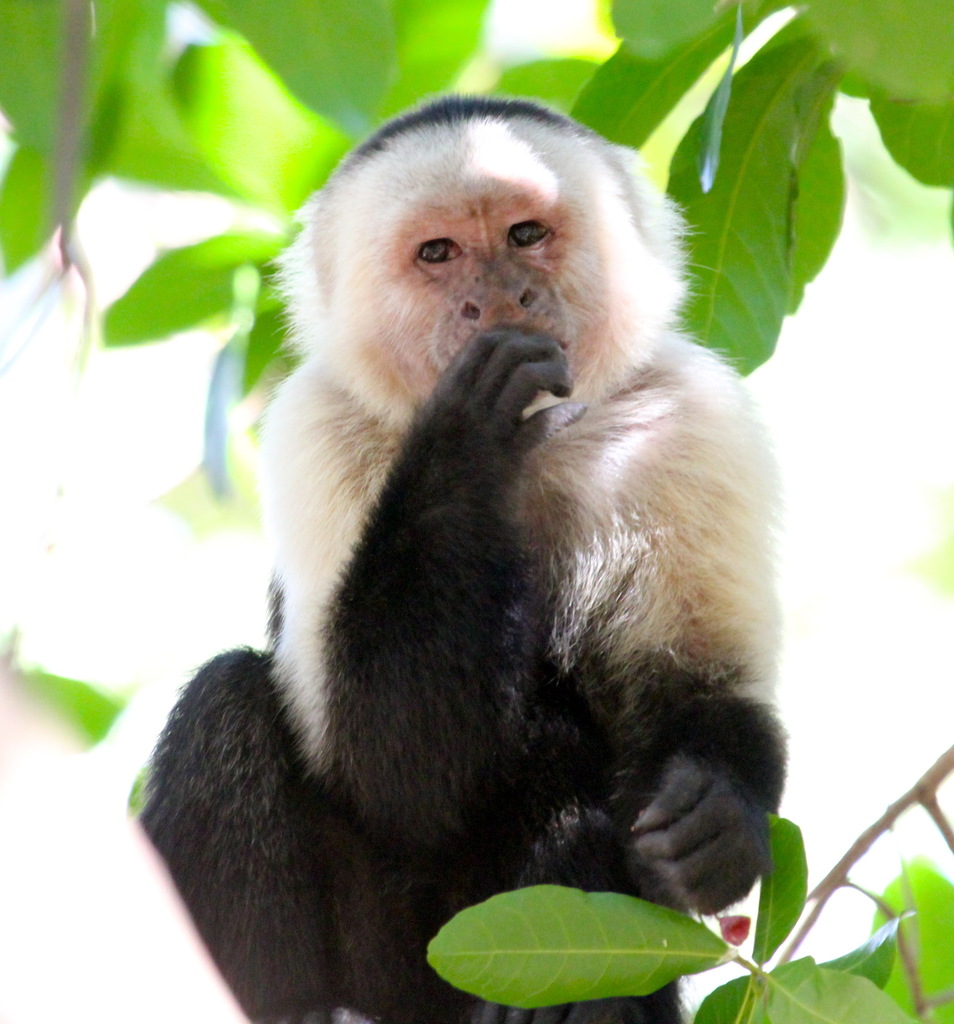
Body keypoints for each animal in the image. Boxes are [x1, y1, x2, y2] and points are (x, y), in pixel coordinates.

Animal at [141, 96, 785, 1024]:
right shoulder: (315, 426)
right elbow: (395, 769)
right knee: (229, 700)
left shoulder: (690, 419)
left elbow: (697, 687)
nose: (502, 300)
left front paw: (718, 814)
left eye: (525, 235)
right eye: (439, 253)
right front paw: (471, 425)